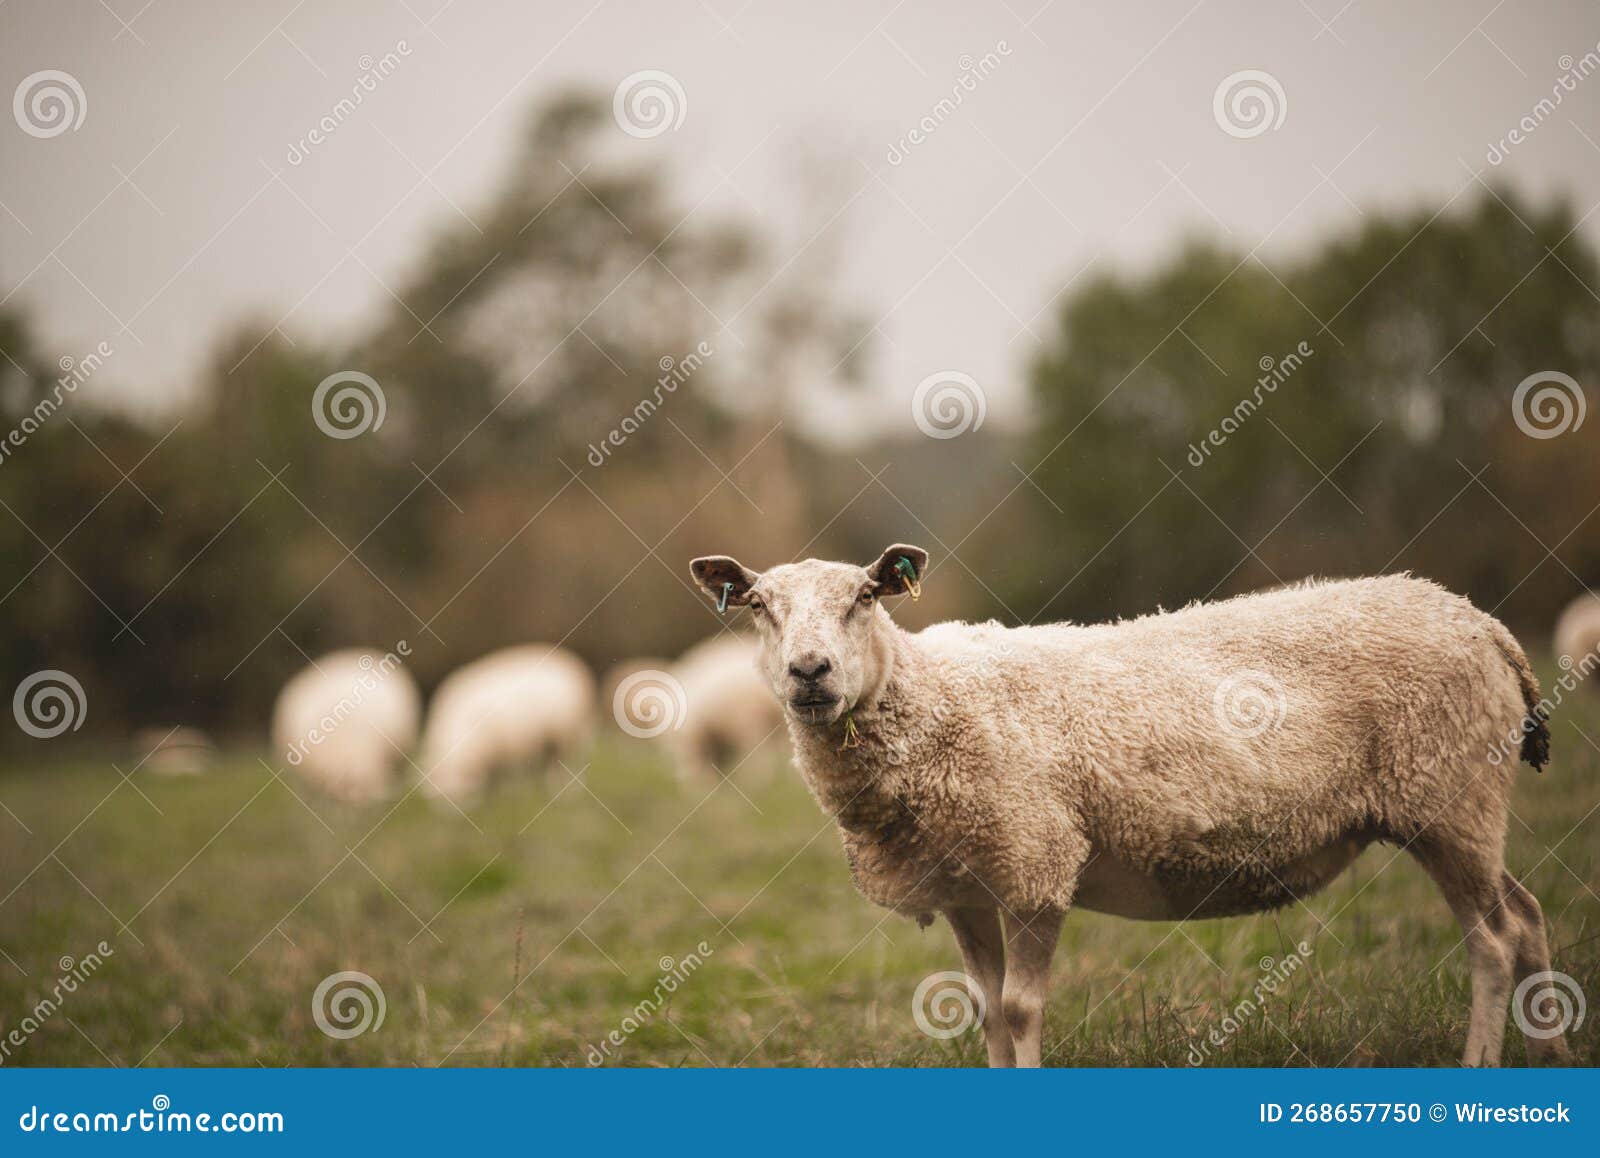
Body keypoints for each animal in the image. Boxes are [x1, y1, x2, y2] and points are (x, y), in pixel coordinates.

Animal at [419, 644, 595, 805]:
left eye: (462, 796)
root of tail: (571, 661)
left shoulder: (499, 750)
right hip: (552, 740)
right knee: (554, 763)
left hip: (569, 734)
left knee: (571, 763)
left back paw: (568, 791)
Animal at [691, 543, 1565, 1068]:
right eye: (760, 606)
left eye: (865, 598)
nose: (810, 671)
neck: (931, 701)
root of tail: (1482, 624)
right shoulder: (967, 888)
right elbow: (985, 1012)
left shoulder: (1036, 864)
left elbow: (1020, 1009)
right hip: (1459, 808)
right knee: (1525, 916)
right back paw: (1552, 1051)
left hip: (1449, 795)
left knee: (1492, 939)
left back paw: (1481, 1063)